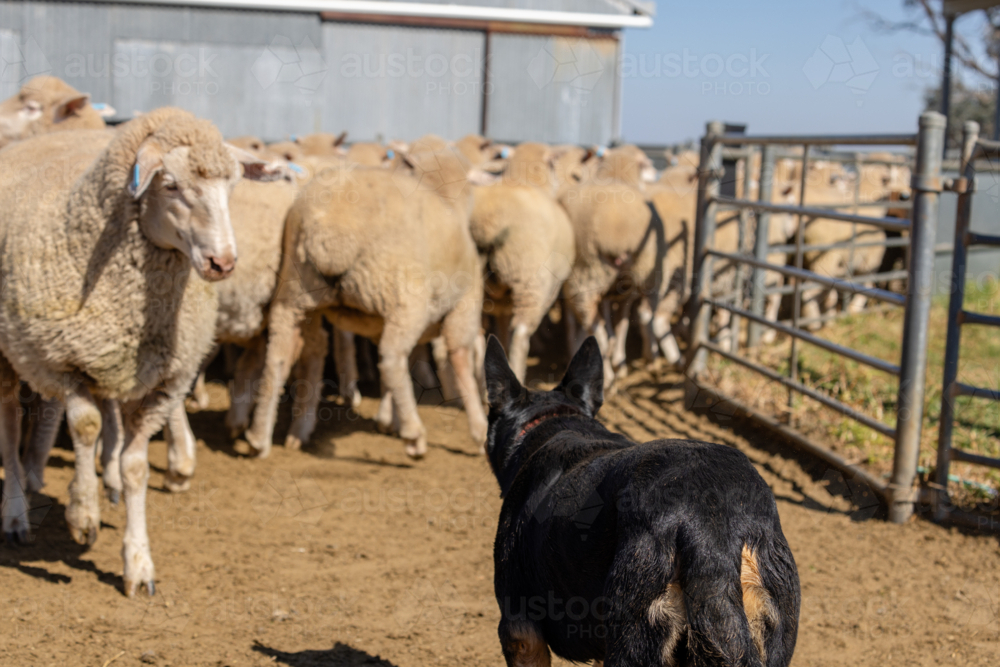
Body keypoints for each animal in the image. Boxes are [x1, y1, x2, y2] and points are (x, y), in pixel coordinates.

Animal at [0, 108, 279, 595]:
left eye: (232, 185)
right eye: (170, 185)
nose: (223, 263)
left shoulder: (160, 383)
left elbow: (135, 468)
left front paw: (138, 562)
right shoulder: (63, 361)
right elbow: (86, 427)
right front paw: (83, 516)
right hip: (10, 352)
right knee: (10, 426)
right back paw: (15, 513)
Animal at [243, 138, 489, 459]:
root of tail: (332, 232)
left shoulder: (377, 321)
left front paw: (388, 418)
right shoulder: (464, 304)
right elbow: (460, 360)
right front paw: (479, 431)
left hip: (294, 294)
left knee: (278, 357)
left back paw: (262, 436)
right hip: (402, 296)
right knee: (392, 357)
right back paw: (414, 435)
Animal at [469, 142, 575, 381]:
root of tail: (488, 222)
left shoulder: (502, 305)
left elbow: (500, 332)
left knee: (476, 337)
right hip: (529, 279)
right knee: (521, 334)